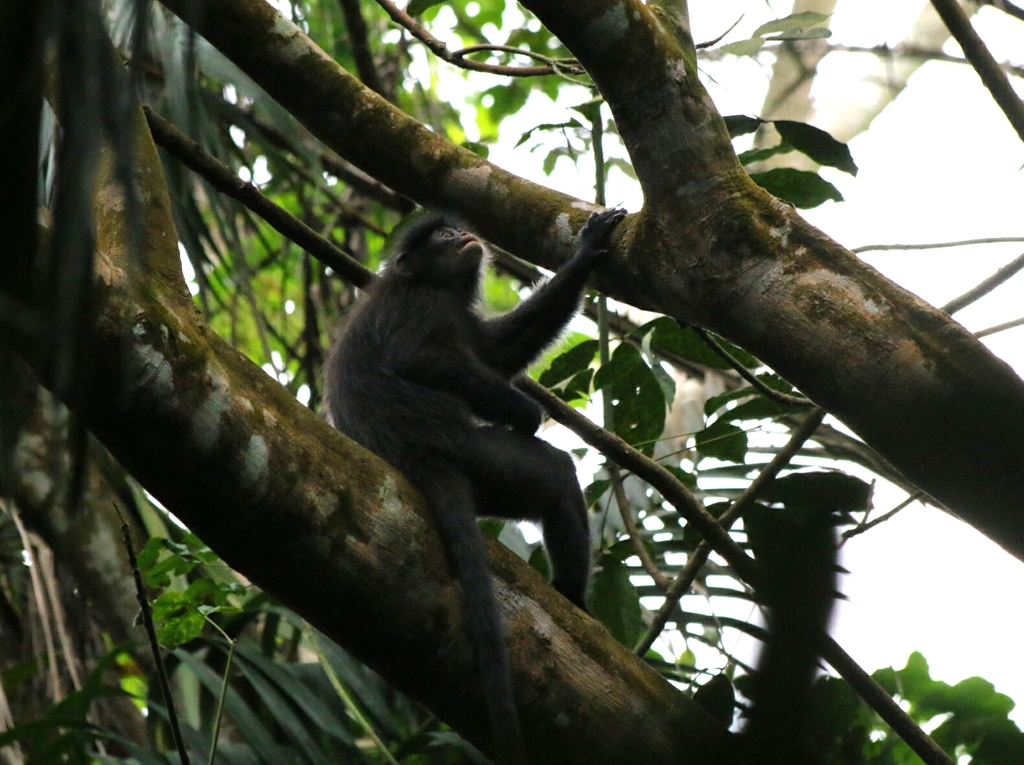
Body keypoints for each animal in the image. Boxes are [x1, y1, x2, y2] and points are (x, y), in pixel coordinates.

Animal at [324, 207, 627, 765]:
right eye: (442, 236)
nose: (463, 235)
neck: (433, 284)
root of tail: (416, 455)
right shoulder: (422, 307)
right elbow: (419, 361)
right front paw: (526, 412)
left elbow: (499, 351)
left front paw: (585, 255)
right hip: (481, 454)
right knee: (555, 476)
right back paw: (572, 595)